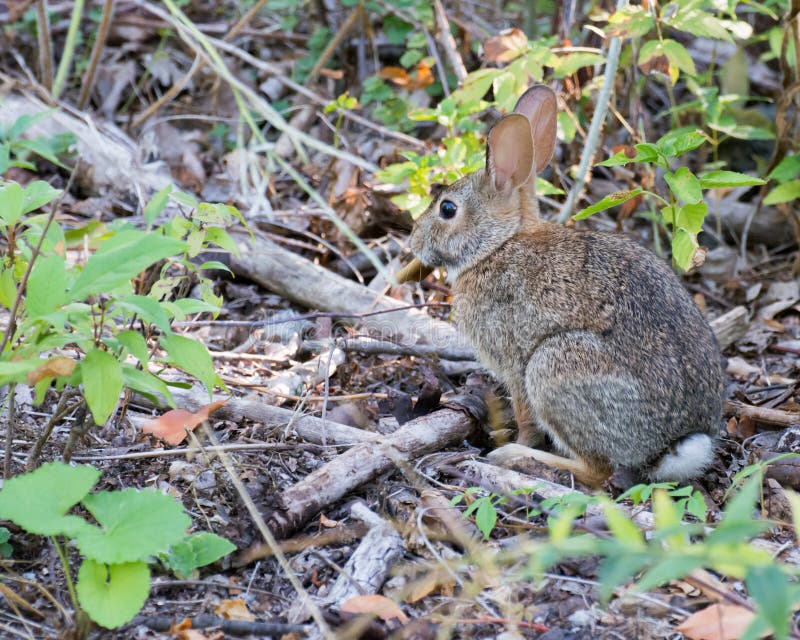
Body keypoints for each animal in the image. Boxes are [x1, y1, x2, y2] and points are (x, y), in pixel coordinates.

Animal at [408, 85, 723, 487]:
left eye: (447, 209)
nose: (414, 240)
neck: (499, 244)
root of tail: (671, 445)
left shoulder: (515, 365)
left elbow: (526, 417)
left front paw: (518, 442)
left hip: (554, 367)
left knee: (597, 470)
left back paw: (516, 457)